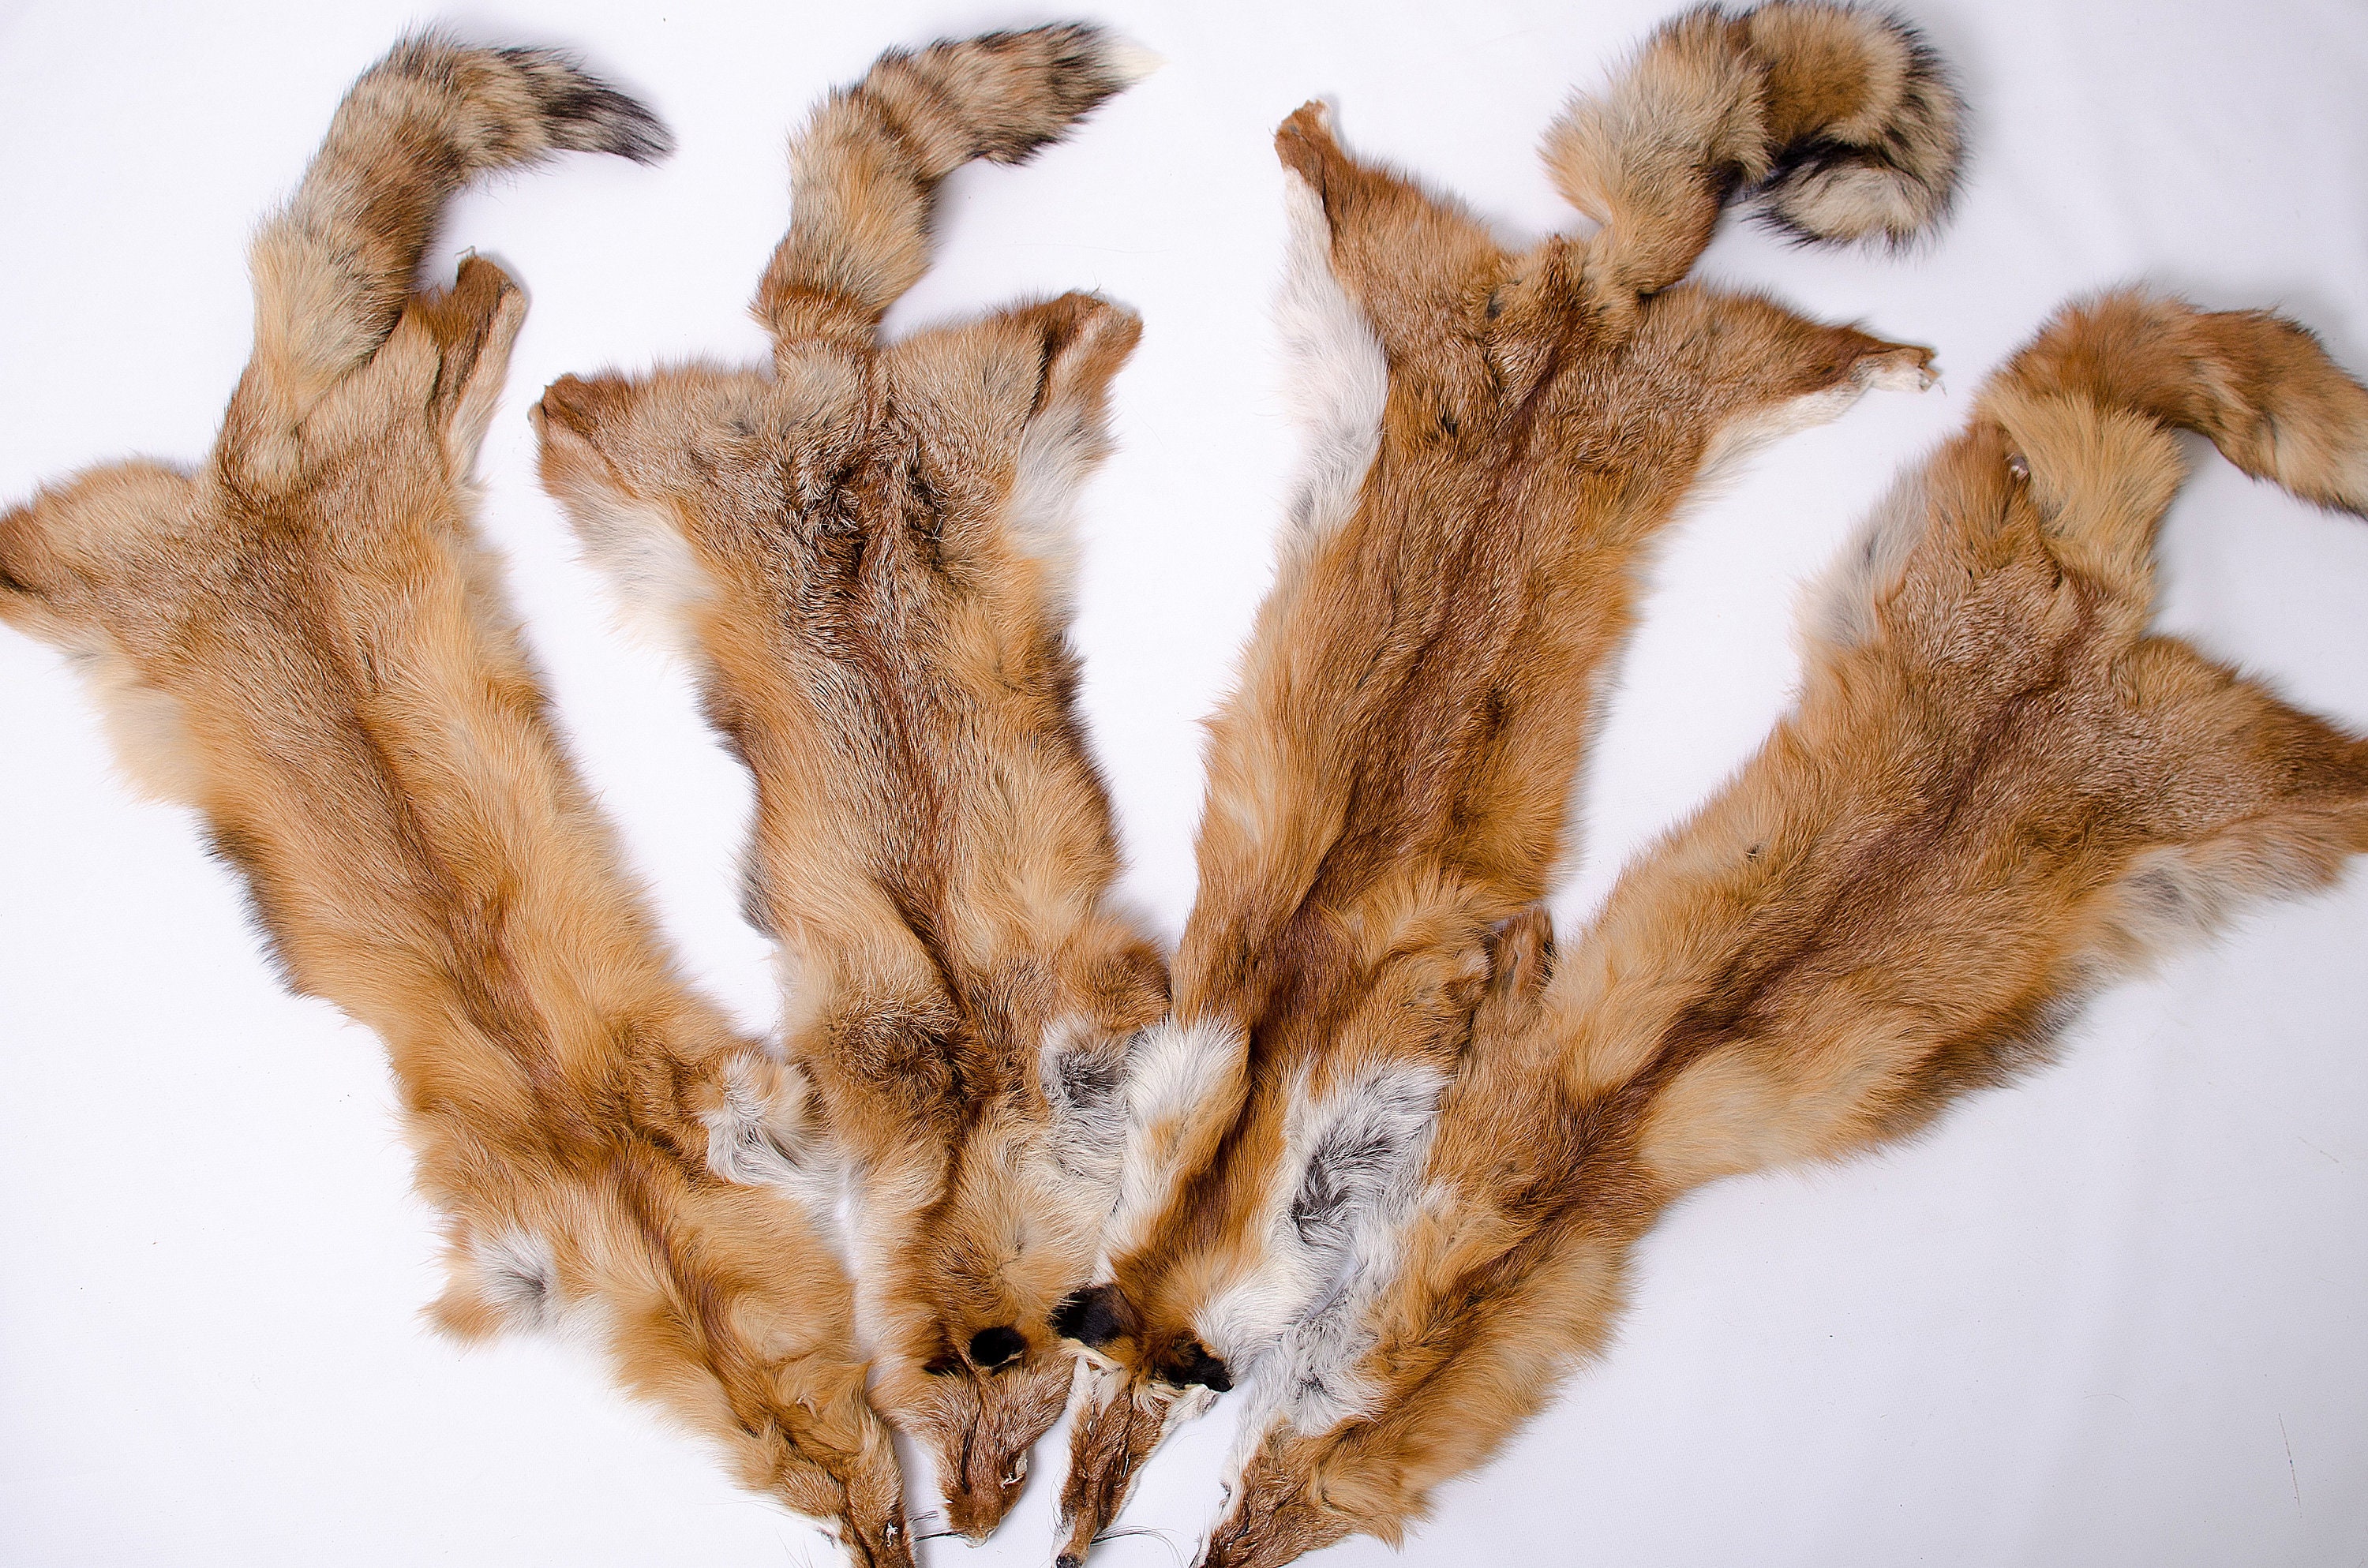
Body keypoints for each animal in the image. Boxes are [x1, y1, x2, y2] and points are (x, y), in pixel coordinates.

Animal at [0, 38, 917, 1568]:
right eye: (790, 1478)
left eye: (851, 1453)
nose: (894, 1544)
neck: (589, 1141)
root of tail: (256, 486)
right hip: (164, 546)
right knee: (438, 299)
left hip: (389, 444)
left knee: (463, 295)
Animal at [530, 25, 1168, 1540]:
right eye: (955, 1438)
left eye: (1025, 1439)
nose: (983, 1528)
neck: (970, 1081)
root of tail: (843, 386)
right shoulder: (850, 1068)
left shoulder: (1096, 993)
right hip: (679, 487)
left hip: (1001, 422)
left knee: (1052, 319)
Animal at [1043, 4, 1965, 1560]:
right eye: (1096, 1401)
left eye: (1175, 1418)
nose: (1069, 1531)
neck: (1269, 1057)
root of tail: (1583, 295)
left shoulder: (1422, 1044)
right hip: (1376, 303)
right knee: (1327, 171)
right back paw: (1303, 117)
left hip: (1709, 397)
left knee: (1817, 353)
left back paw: (1898, 359)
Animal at [1197, 292, 2368, 1568]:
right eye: (1239, 1489)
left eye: (1285, 1520)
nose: (1208, 1556)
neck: (1561, 1169)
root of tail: (2092, 634)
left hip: (2260, 801)